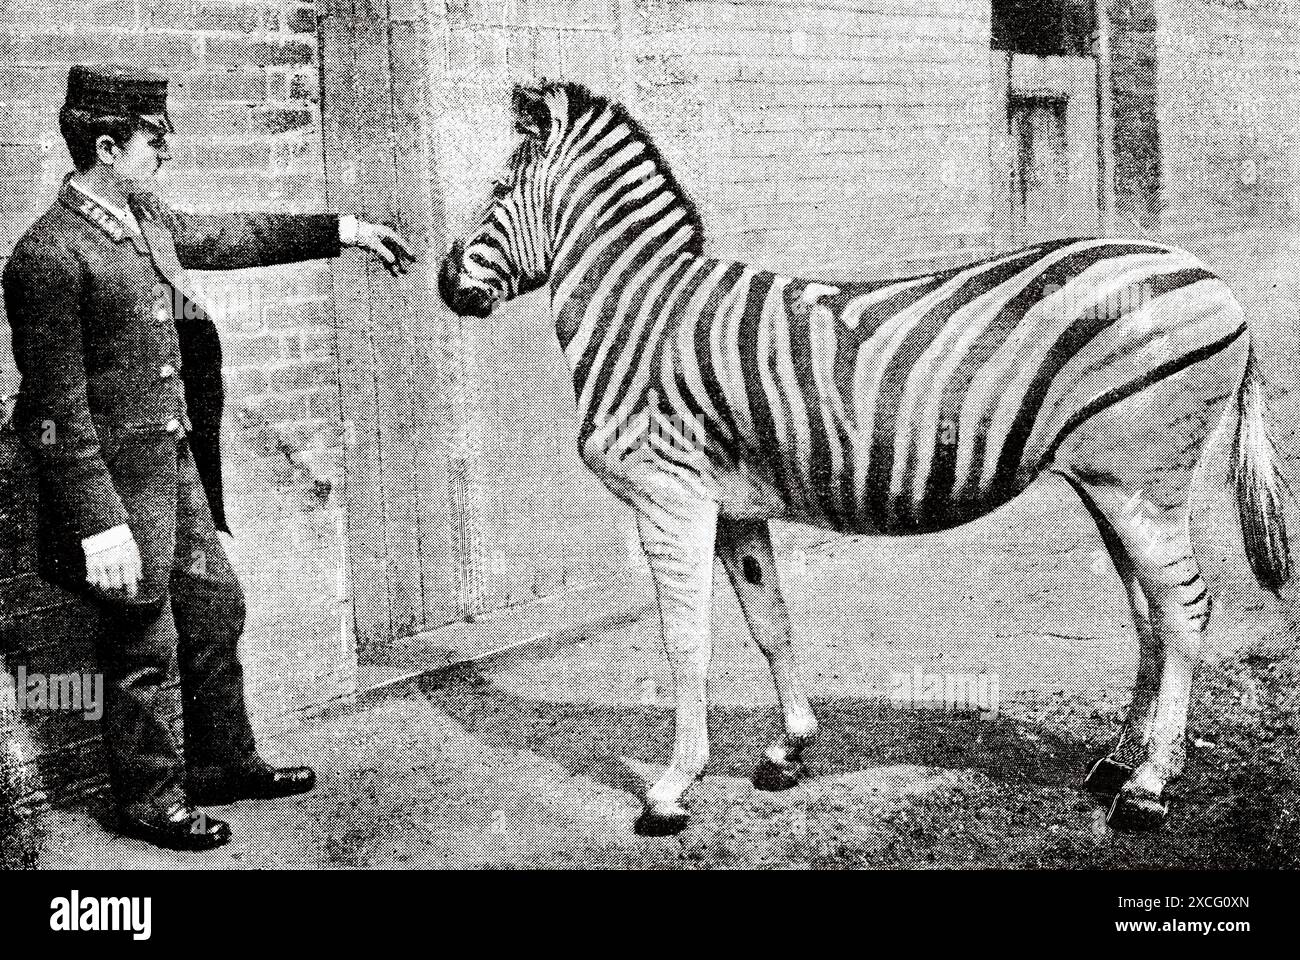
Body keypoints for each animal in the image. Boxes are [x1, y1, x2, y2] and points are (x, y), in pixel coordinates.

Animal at [438, 81, 1292, 837]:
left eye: (496, 189)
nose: (445, 283)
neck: (640, 317)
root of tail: (1215, 279)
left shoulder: (670, 499)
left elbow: (686, 642)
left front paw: (672, 788)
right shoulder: (732, 506)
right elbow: (770, 623)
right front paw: (788, 750)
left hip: (1141, 483)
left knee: (1185, 610)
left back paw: (1149, 788)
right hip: (1109, 483)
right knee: (1150, 614)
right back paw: (1121, 761)